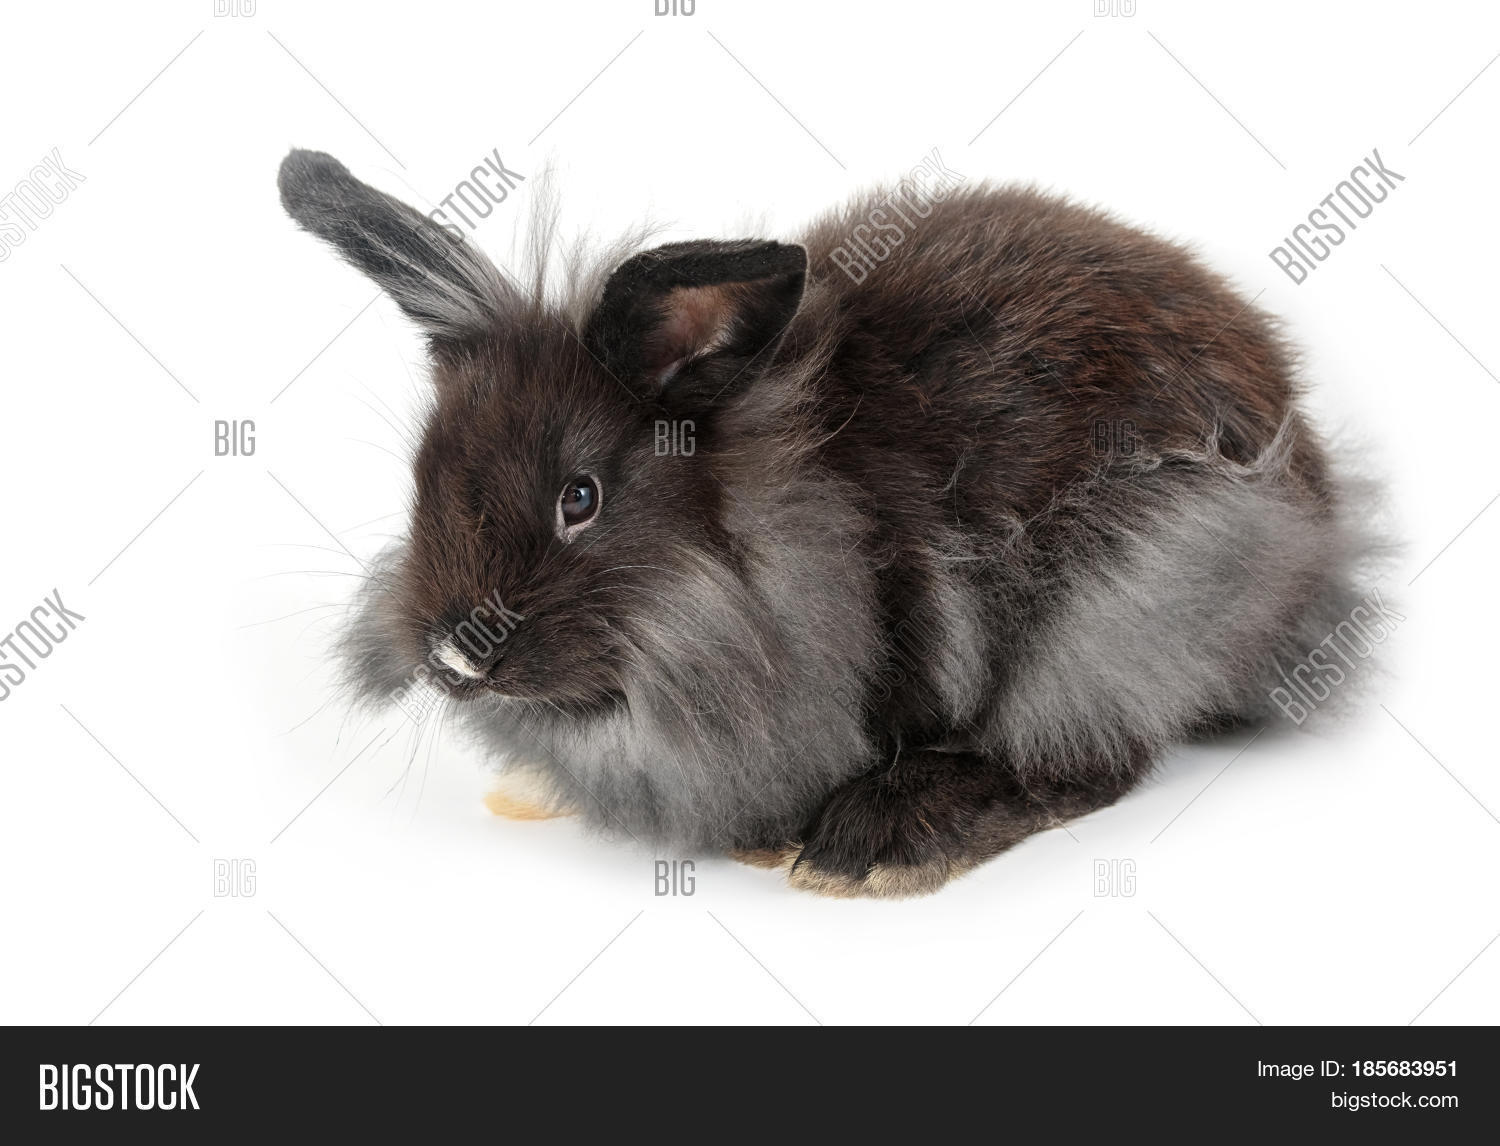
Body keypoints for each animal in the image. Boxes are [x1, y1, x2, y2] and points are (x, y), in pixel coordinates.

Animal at [278, 148, 1377, 898]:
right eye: (422, 477)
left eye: (579, 497)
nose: (455, 657)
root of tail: (1323, 535)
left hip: (1127, 590)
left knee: (1083, 757)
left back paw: (877, 843)